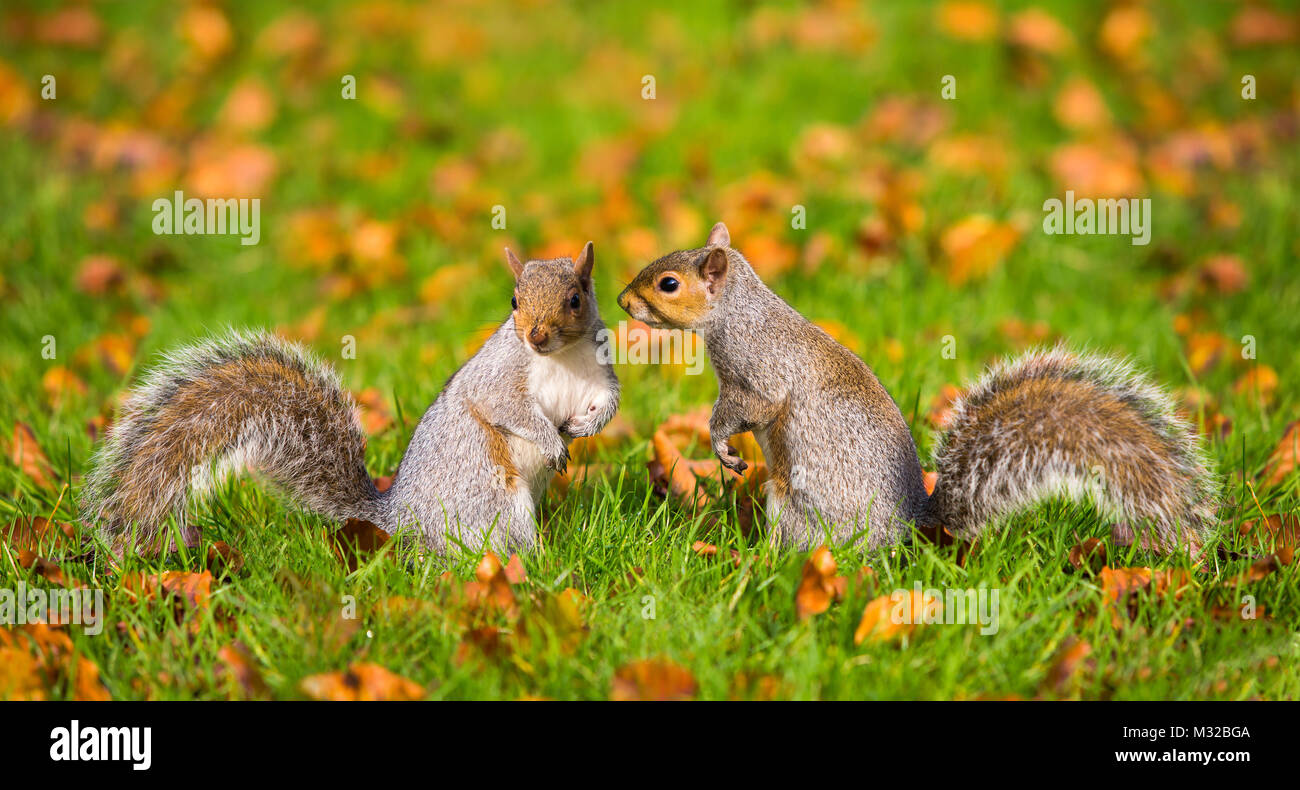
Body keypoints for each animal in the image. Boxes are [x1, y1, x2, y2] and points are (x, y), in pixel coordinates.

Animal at [83, 242, 620, 557]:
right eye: (513, 301)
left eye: (575, 299)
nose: (534, 335)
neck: (562, 357)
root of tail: (398, 518)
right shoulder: (500, 376)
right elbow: (506, 408)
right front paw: (551, 442)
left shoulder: (598, 373)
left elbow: (607, 403)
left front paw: (583, 428)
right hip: (489, 499)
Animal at [617, 222, 1218, 556]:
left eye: (669, 284)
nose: (622, 301)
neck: (738, 312)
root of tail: (910, 527)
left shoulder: (756, 373)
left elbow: (742, 409)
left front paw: (719, 444)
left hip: (796, 506)